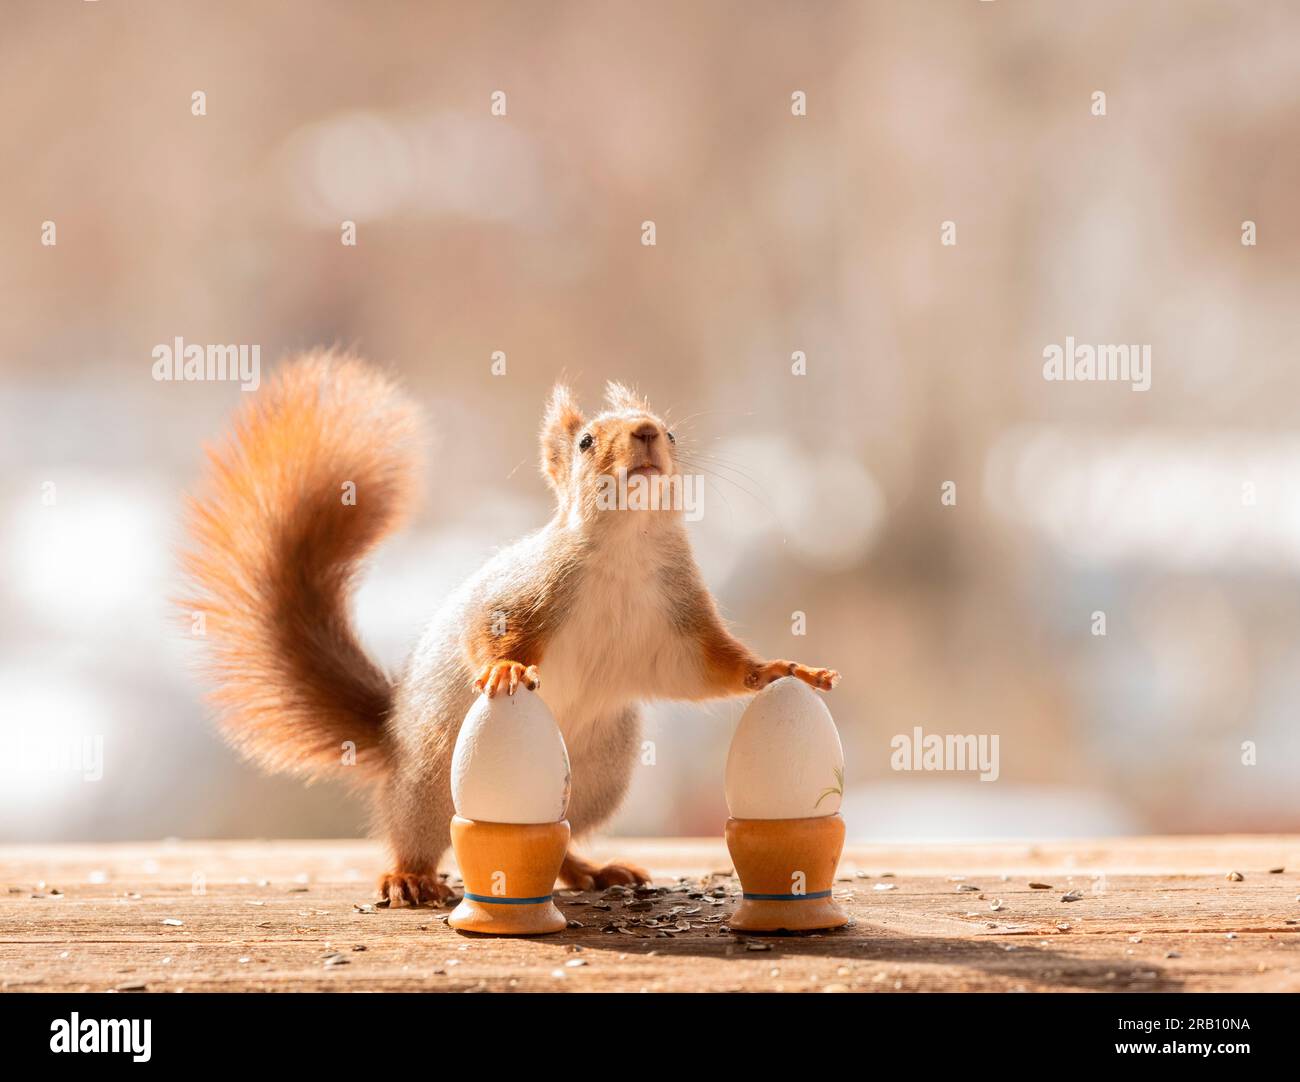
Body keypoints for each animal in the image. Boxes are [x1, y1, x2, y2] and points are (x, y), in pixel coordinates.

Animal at [181, 351, 839, 906]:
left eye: (672, 433)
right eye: (585, 442)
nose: (649, 433)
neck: (627, 549)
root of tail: (391, 733)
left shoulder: (680, 624)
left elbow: (712, 667)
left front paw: (782, 669)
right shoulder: (523, 594)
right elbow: (486, 630)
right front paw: (505, 667)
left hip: (598, 780)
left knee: (559, 834)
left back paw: (592, 870)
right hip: (432, 774)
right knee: (412, 829)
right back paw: (409, 877)